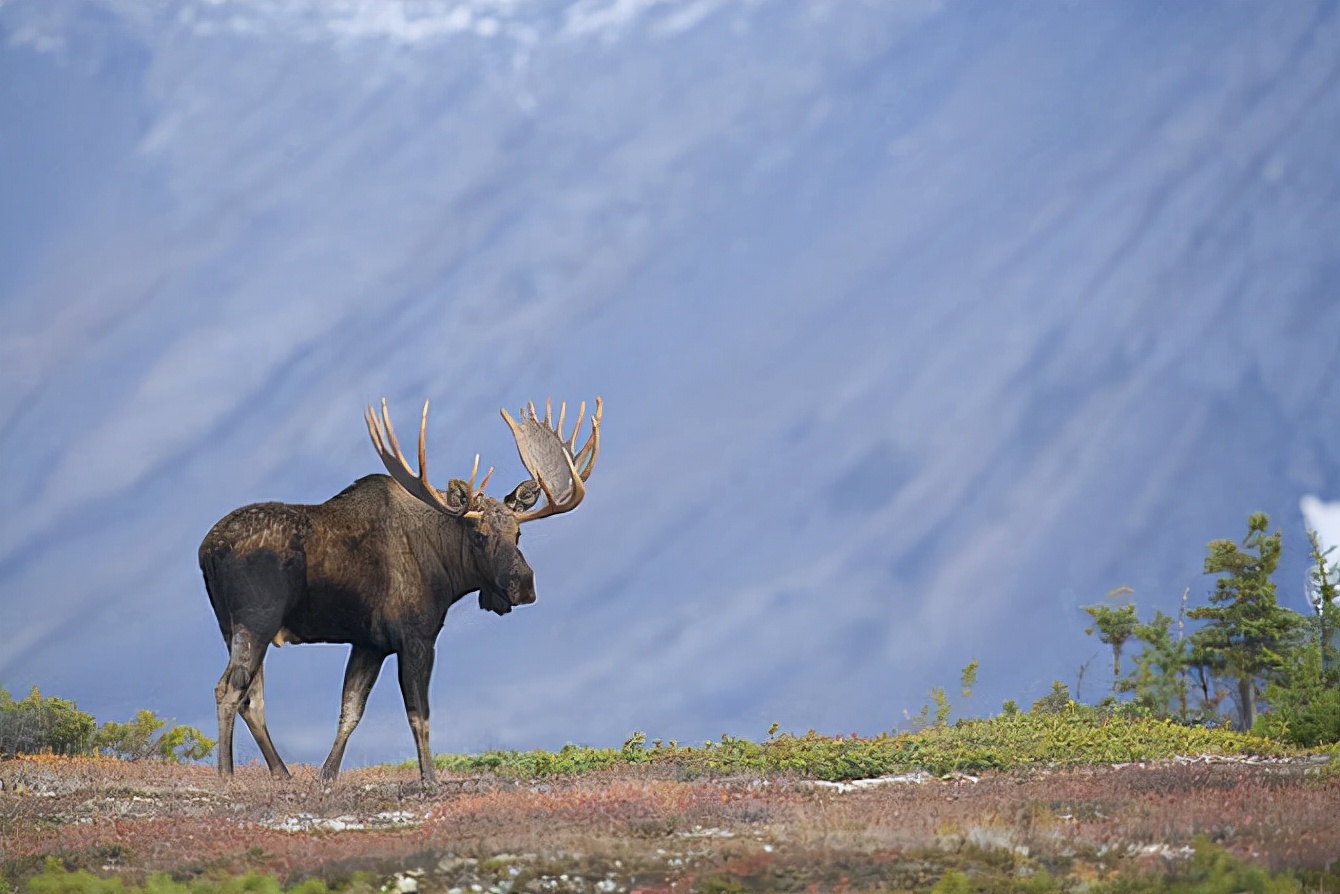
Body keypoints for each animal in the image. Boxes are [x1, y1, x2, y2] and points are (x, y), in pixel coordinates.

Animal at [199, 396, 601, 785]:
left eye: (518, 533)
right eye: (479, 535)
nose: (524, 585)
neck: (446, 569)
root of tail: (207, 551)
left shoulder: (370, 644)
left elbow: (350, 711)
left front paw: (325, 777)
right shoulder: (416, 637)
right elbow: (419, 715)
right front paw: (429, 780)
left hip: (231, 626)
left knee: (252, 698)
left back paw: (281, 773)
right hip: (257, 620)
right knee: (229, 689)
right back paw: (226, 775)